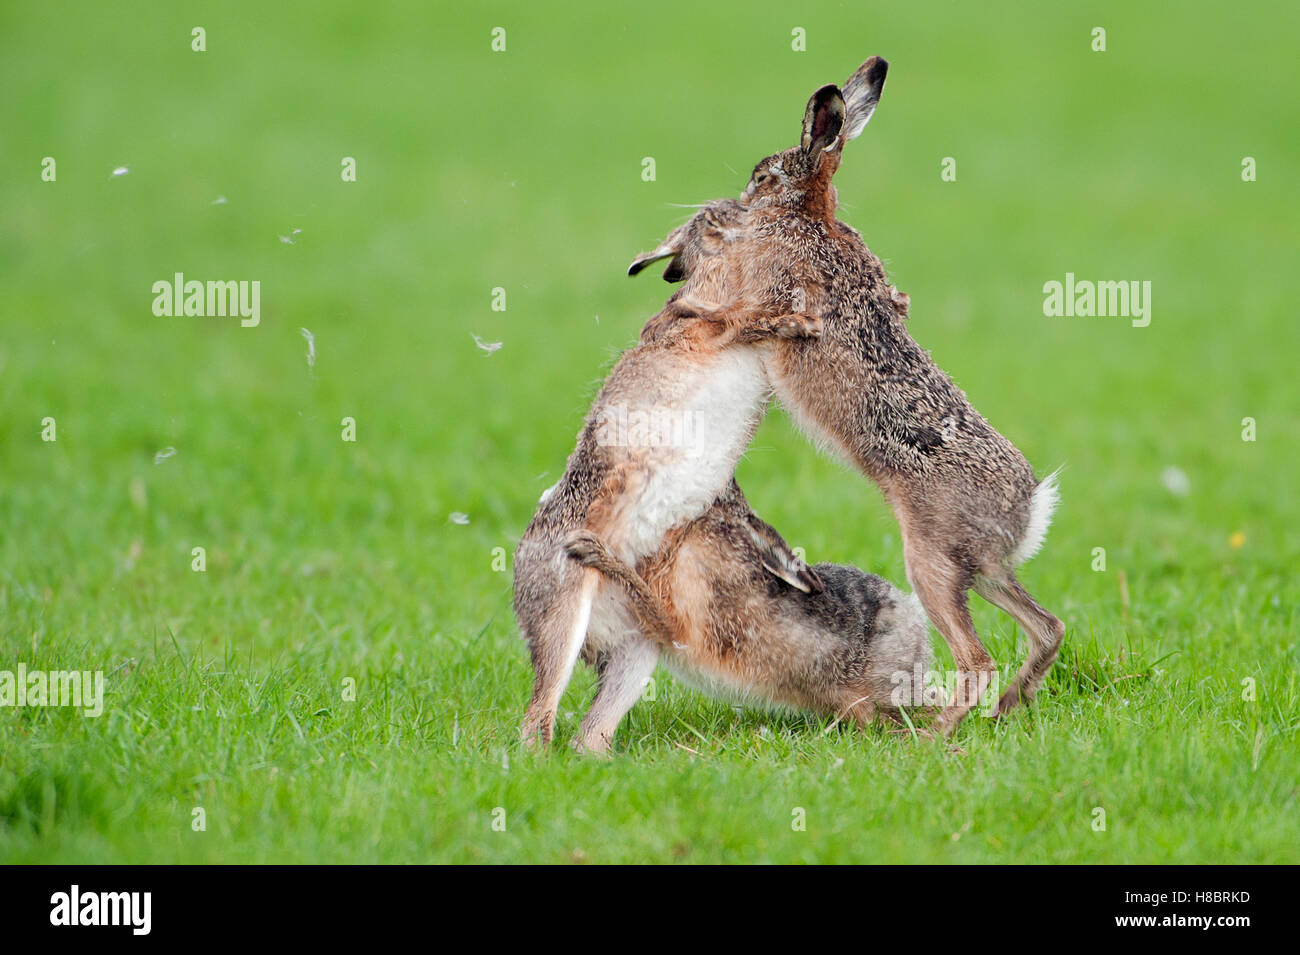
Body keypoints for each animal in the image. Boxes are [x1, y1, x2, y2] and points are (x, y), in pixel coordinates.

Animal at [514, 200, 823, 751]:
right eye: (711, 219)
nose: (734, 208)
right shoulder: (707, 329)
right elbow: (744, 320)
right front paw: (802, 321)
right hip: (563, 609)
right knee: (538, 716)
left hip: (638, 649)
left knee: (591, 733)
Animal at [635, 56, 1064, 737]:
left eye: (763, 176)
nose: (739, 202)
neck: (808, 215)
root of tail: (1028, 510)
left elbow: (737, 312)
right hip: (985, 573)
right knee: (1047, 629)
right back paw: (1006, 708)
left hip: (933, 563)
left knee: (977, 658)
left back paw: (936, 735)